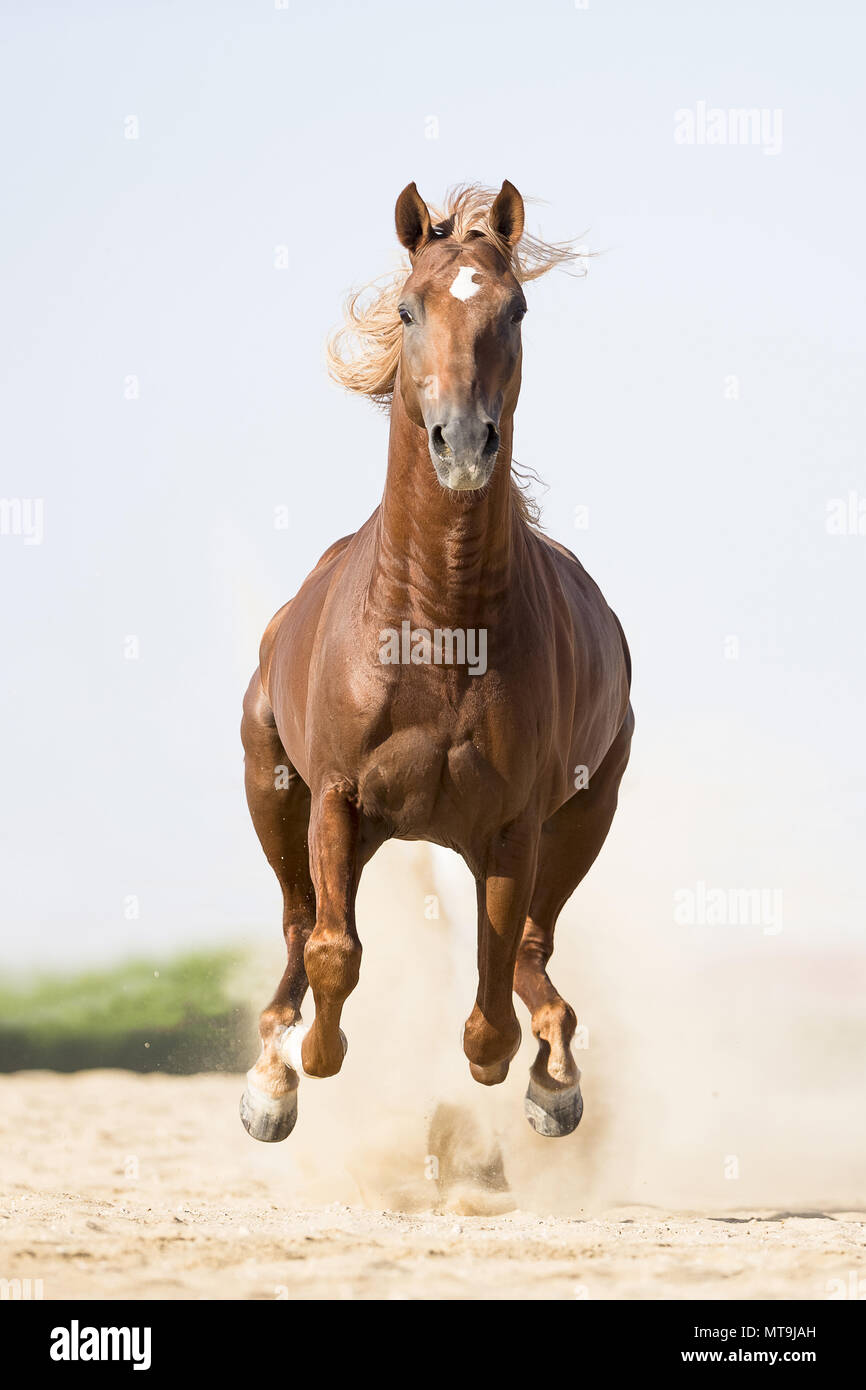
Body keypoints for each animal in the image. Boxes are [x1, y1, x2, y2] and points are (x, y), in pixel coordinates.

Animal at [239, 181, 634, 1144]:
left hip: (586, 815)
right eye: (410, 309)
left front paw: (525, 1073)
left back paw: (554, 1073)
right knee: (297, 922)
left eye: (515, 308)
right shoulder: (336, 797)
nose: (462, 441)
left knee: (530, 949)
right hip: (272, 788)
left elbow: (491, 1001)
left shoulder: (514, 827)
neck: (439, 631)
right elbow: (332, 948)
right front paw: (310, 1063)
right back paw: (272, 1074)